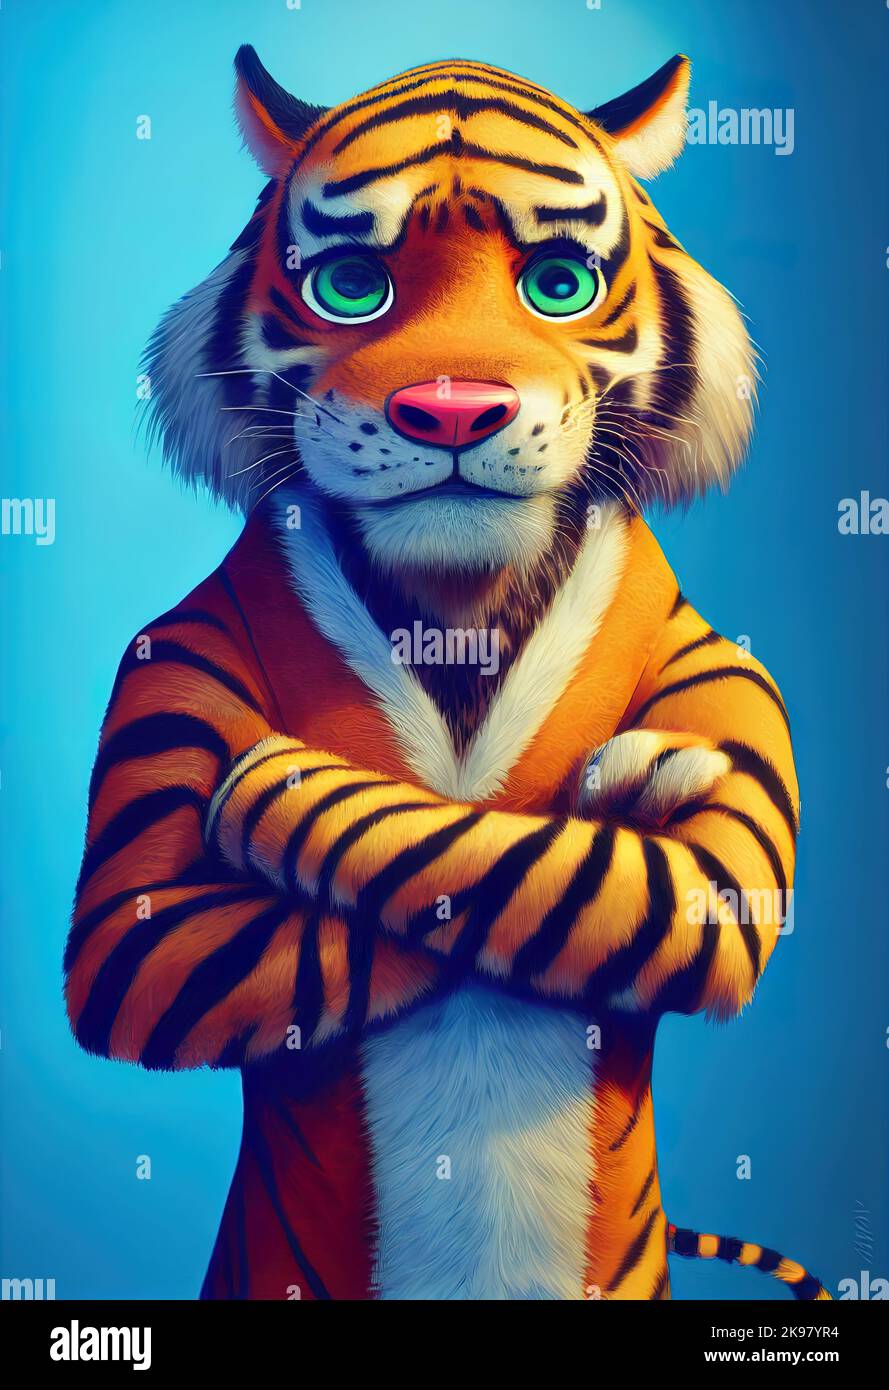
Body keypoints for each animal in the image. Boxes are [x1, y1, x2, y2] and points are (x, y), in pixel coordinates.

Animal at [64, 47, 830, 1301]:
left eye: (559, 284)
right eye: (352, 287)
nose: (453, 411)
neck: (459, 605)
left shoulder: (723, 687)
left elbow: (583, 865)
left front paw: (633, 784)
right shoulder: (168, 670)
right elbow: (164, 925)